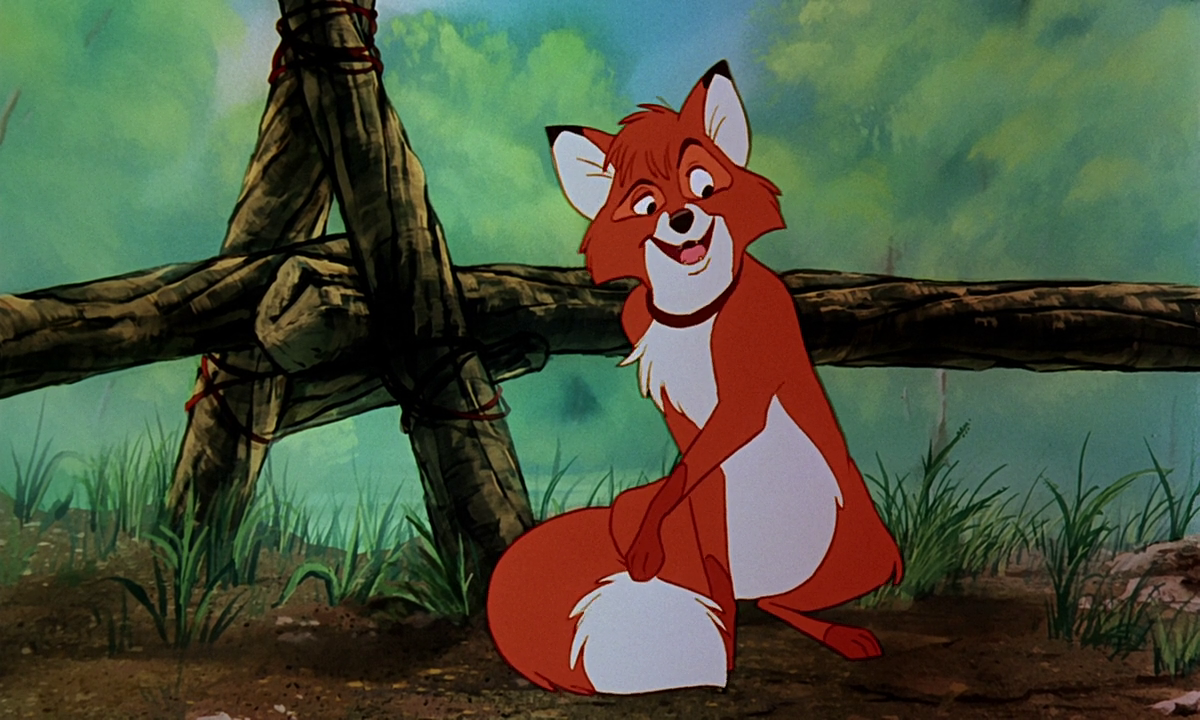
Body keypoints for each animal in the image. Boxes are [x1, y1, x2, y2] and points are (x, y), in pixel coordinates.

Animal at [487, 61, 904, 695]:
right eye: (646, 205)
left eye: (704, 186)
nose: (682, 218)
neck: (695, 312)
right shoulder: (692, 444)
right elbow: (693, 518)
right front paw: (719, 653)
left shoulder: (750, 373)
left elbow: (699, 463)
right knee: (740, 587)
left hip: (869, 554)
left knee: (785, 601)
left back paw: (837, 633)